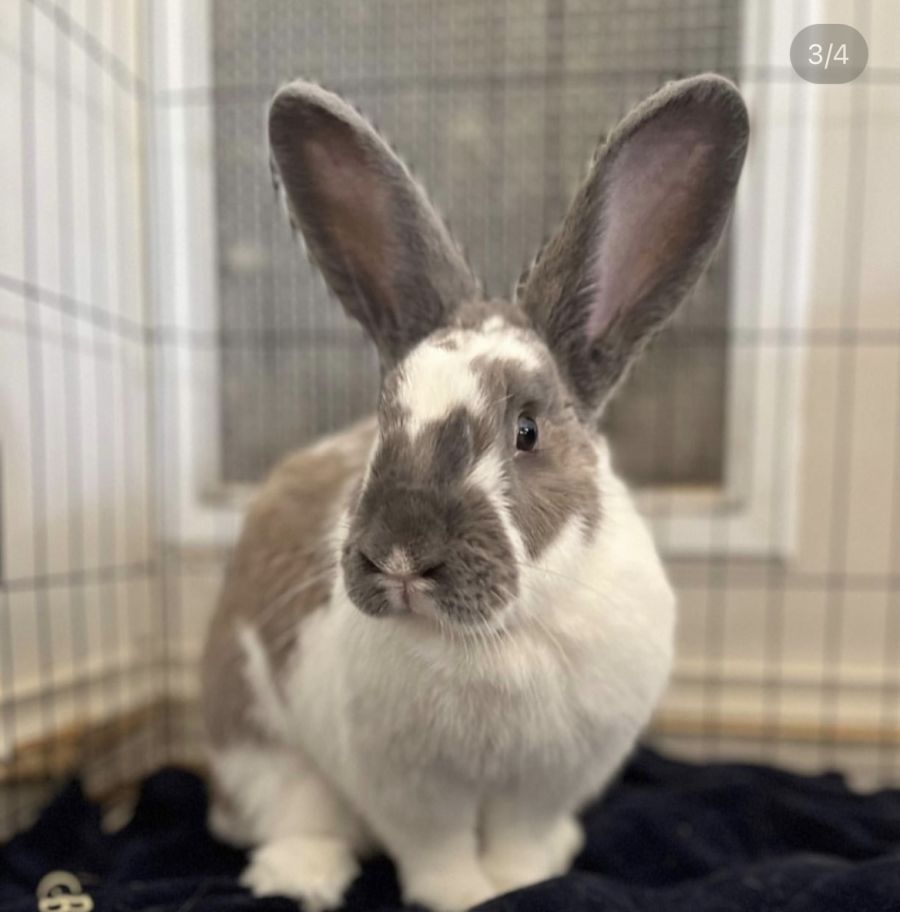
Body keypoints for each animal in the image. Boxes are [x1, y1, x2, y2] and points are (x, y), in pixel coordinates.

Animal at [201, 73, 748, 912]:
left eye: (527, 430)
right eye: (384, 416)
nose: (400, 553)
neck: (502, 635)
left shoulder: (548, 781)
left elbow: (520, 839)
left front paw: (528, 878)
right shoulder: (413, 792)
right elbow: (440, 853)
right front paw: (462, 897)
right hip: (266, 753)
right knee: (294, 816)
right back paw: (304, 875)